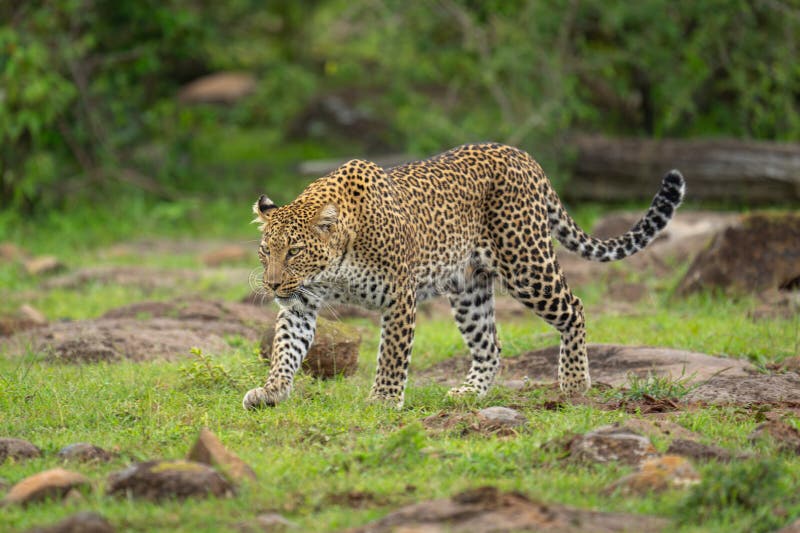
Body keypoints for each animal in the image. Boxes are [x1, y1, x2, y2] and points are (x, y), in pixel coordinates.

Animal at [243, 143, 685, 410]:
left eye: (294, 251)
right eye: (266, 251)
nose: (272, 284)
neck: (334, 267)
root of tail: (522, 155)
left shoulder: (399, 297)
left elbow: (391, 356)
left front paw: (383, 401)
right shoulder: (301, 304)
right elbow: (286, 349)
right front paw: (271, 391)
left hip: (527, 264)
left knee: (574, 308)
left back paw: (575, 382)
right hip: (469, 289)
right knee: (490, 345)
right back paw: (470, 393)